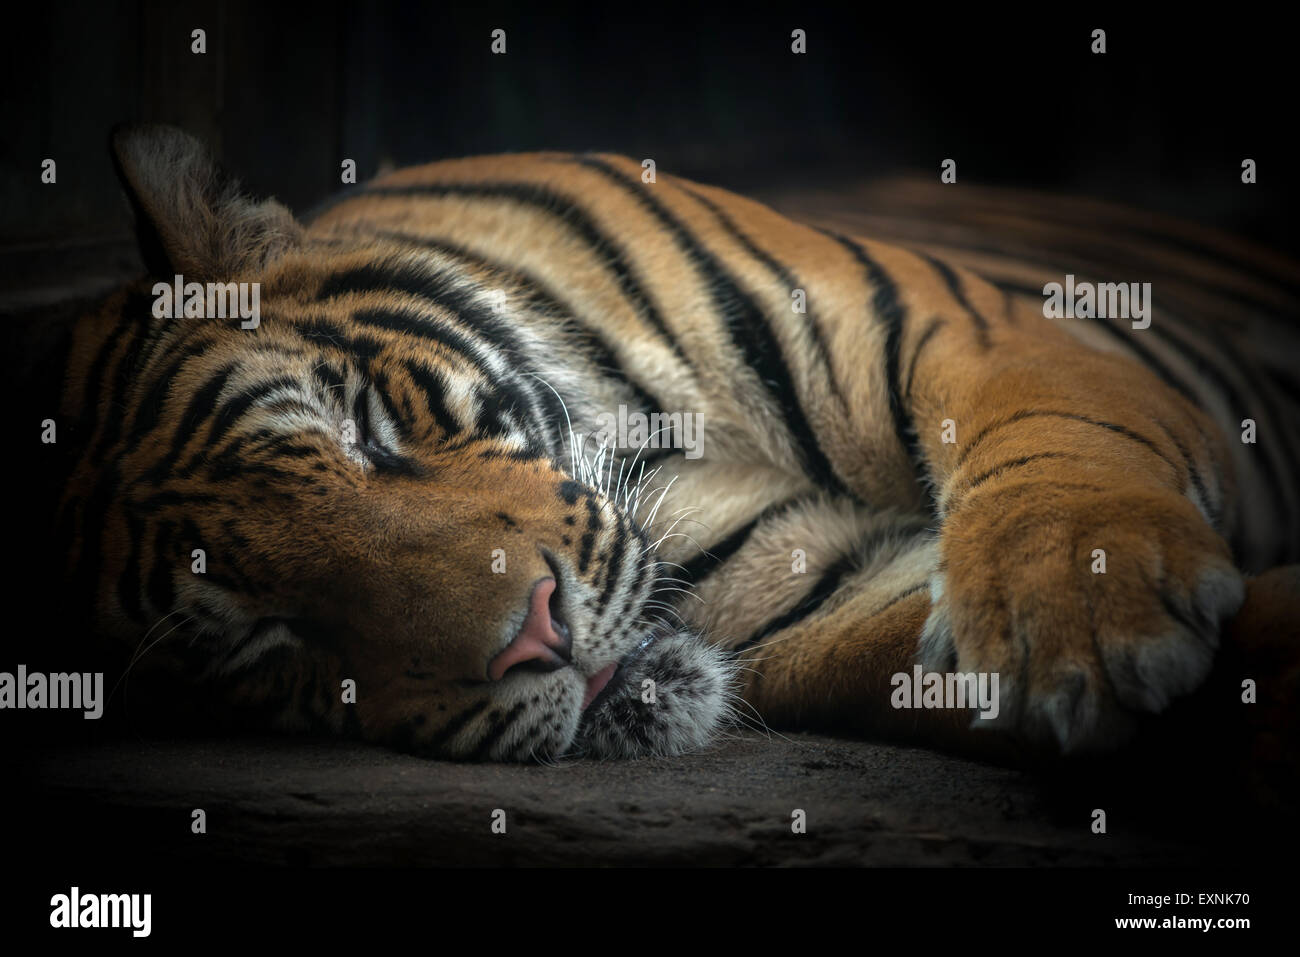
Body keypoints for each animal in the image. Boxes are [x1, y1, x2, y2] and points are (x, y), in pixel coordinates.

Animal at [49, 123, 1300, 764]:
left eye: (367, 428)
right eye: (263, 641)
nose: (532, 642)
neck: (653, 454)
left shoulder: (953, 323)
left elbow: (1057, 446)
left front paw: (1081, 622)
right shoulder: (830, 596)